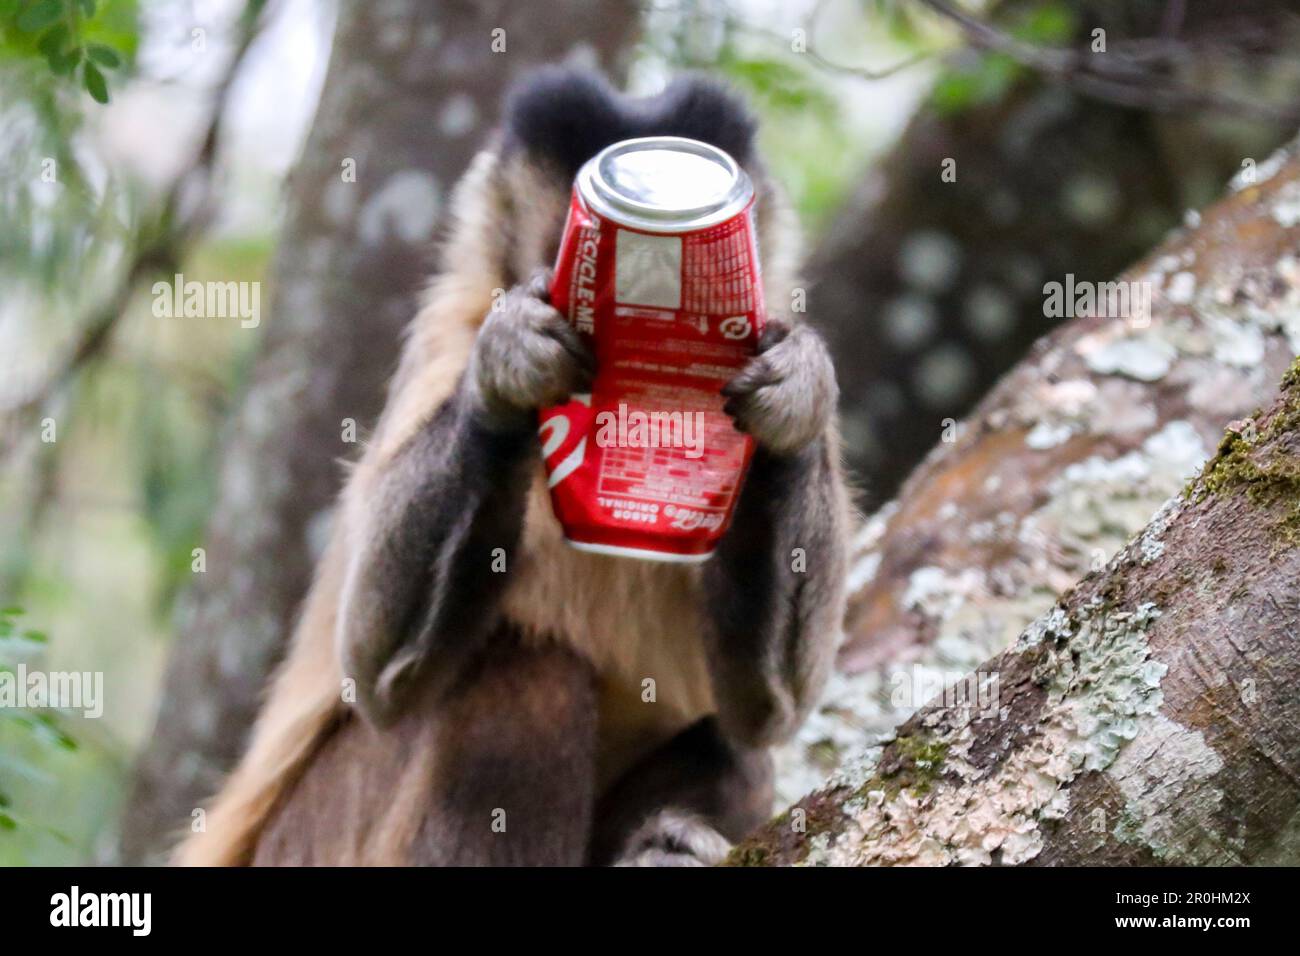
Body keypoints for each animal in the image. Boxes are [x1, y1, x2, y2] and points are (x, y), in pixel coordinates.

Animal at [175, 67, 851, 867]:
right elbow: (378, 674)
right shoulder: (449, 334)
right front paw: (508, 375)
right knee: (524, 676)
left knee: (735, 740)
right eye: (578, 257)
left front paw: (793, 397)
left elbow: (768, 707)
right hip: (313, 840)